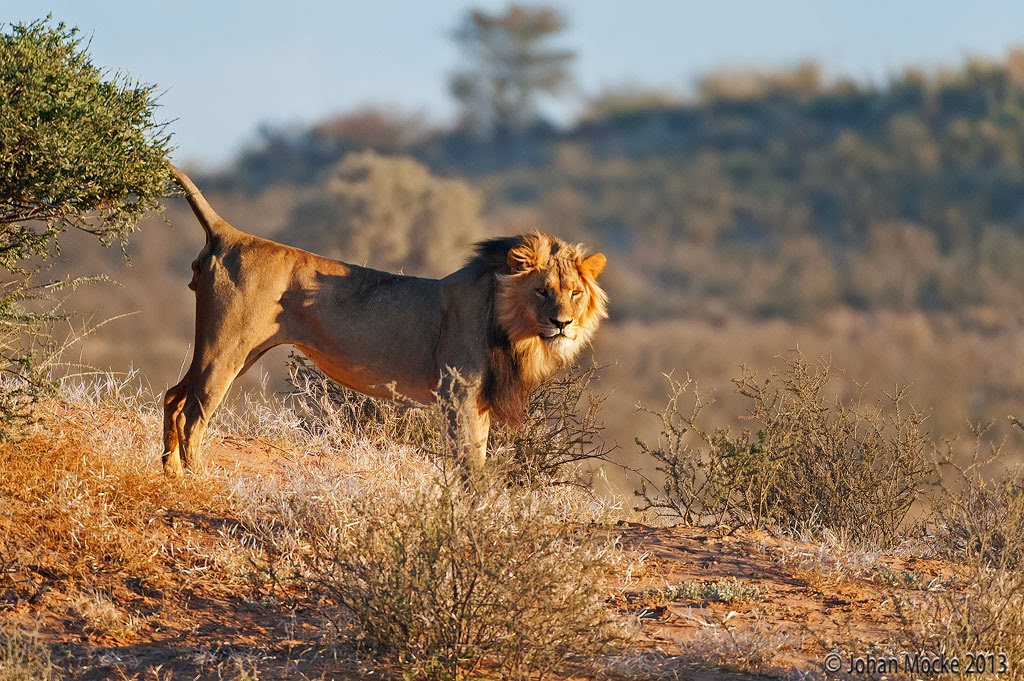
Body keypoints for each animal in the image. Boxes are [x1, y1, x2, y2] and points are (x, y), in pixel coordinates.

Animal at [162, 164, 608, 475]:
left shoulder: (478, 403)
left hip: (235, 353)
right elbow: (468, 464)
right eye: (542, 290)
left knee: (173, 396)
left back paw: (171, 472)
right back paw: (198, 478)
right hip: (227, 348)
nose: (563, 323)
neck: (514, 329)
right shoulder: (458, 397)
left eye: (574, 292)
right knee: (192, 413)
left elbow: (478, 458)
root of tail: (228, 233)